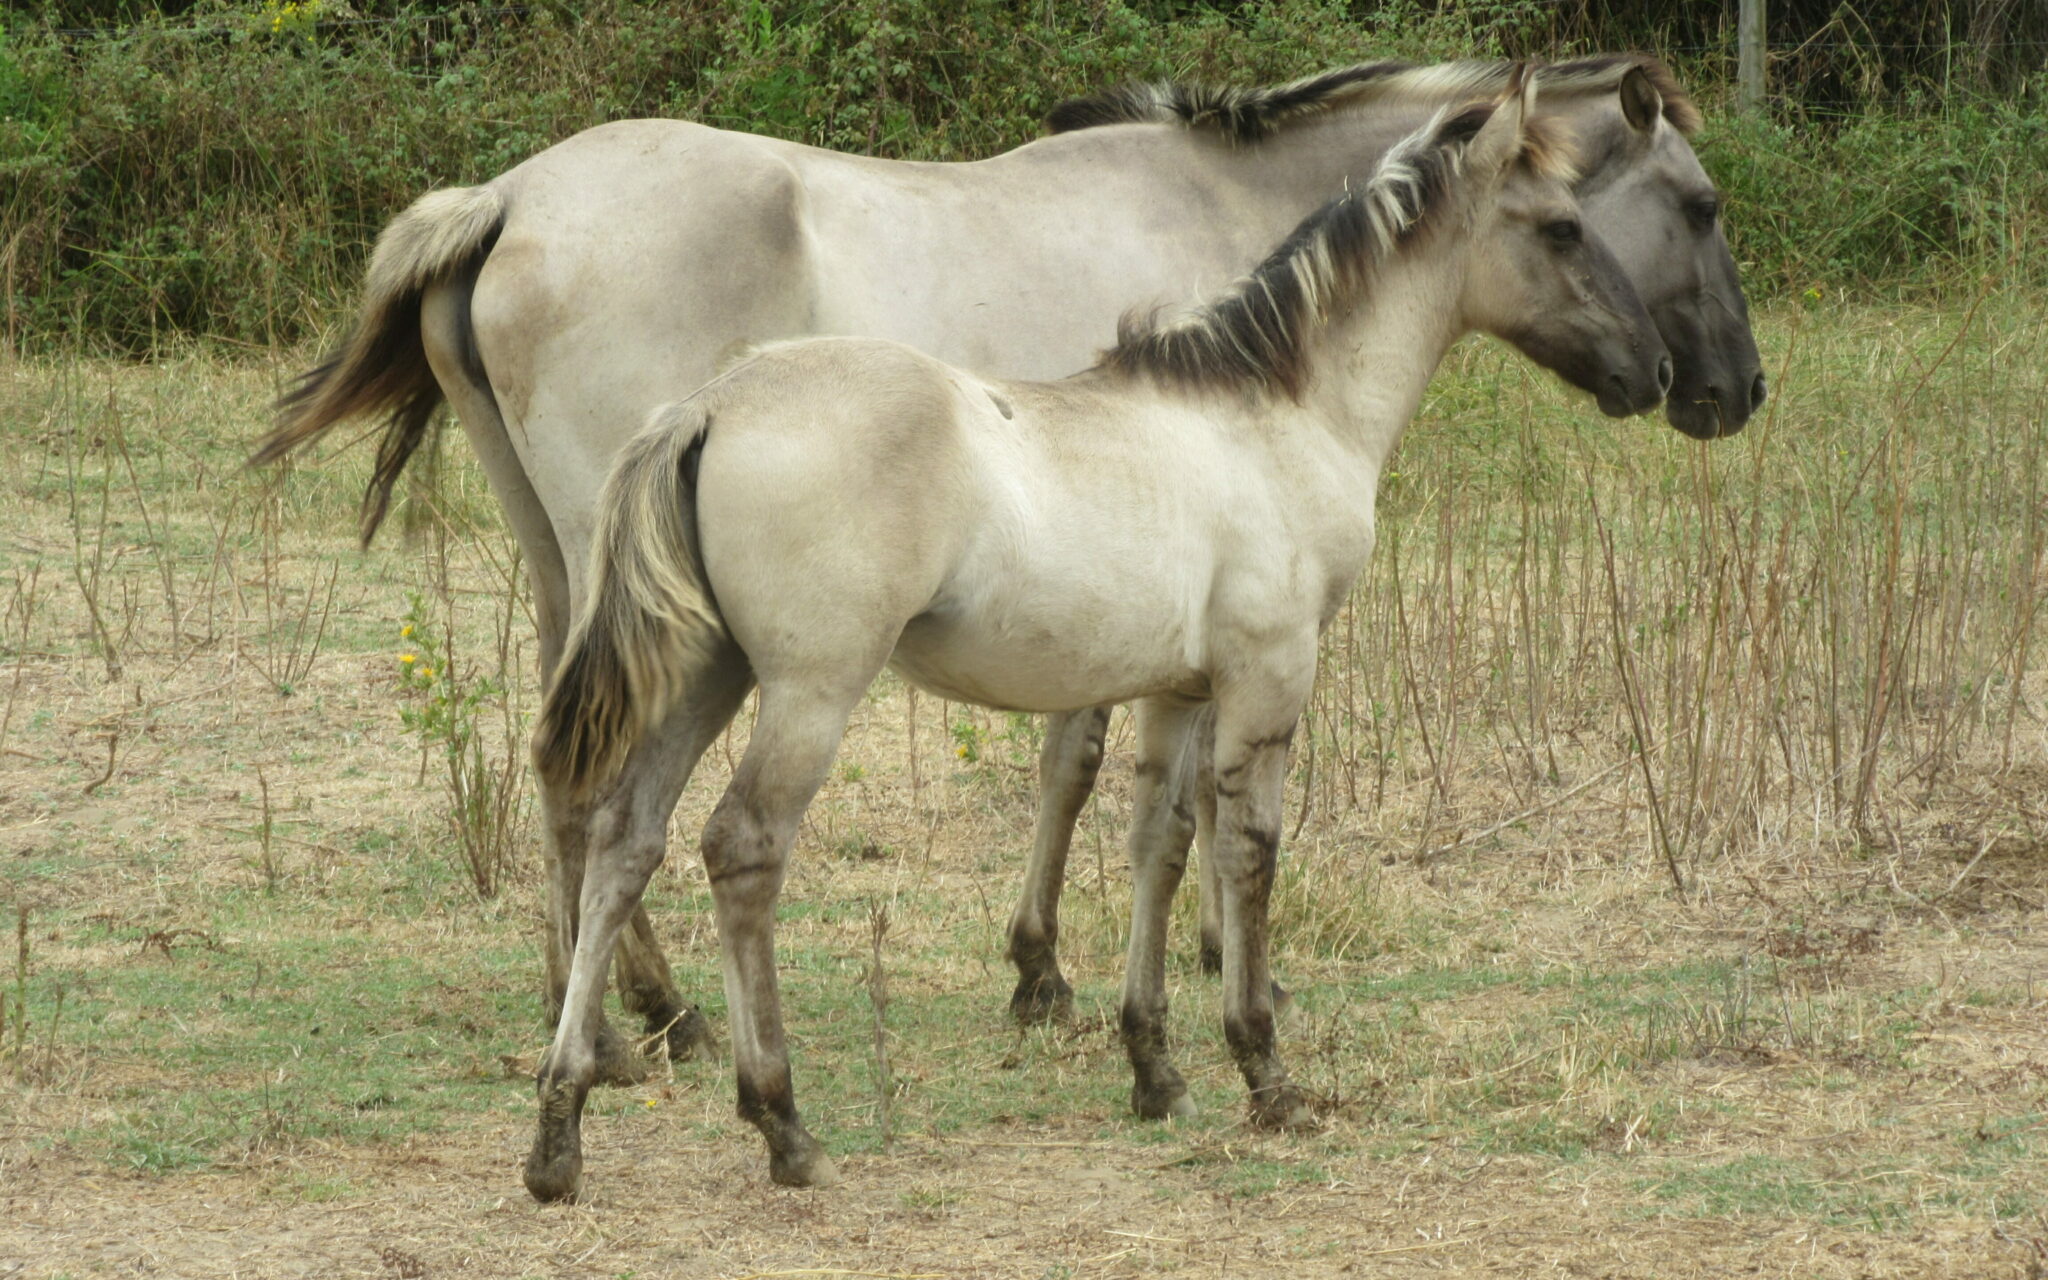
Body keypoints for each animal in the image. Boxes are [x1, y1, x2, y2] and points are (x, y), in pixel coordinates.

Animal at [255, 55, 1763, 1081]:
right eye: (1692, 204)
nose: (1724, 391)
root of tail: (507, 198)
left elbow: (1113, 772)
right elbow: (1103, 770)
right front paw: (1097, 971)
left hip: (580, 567)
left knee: (570, 766)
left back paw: (613, 1019)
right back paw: (650, 1022)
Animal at [519, 77, 1670, 1198]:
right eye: (1563, 226)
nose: (1655, 371)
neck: (1274, 413)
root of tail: (708, 407)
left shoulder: (1179, 687)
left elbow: (1159, 842)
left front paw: (1153, 1066)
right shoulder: (1269, 676)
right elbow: (1249, 852)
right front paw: (1264, 1070)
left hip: (705, 676)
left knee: (625, 837)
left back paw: (562, 1129)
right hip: (809, 688)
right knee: (741, 848)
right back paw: (781, 1124)